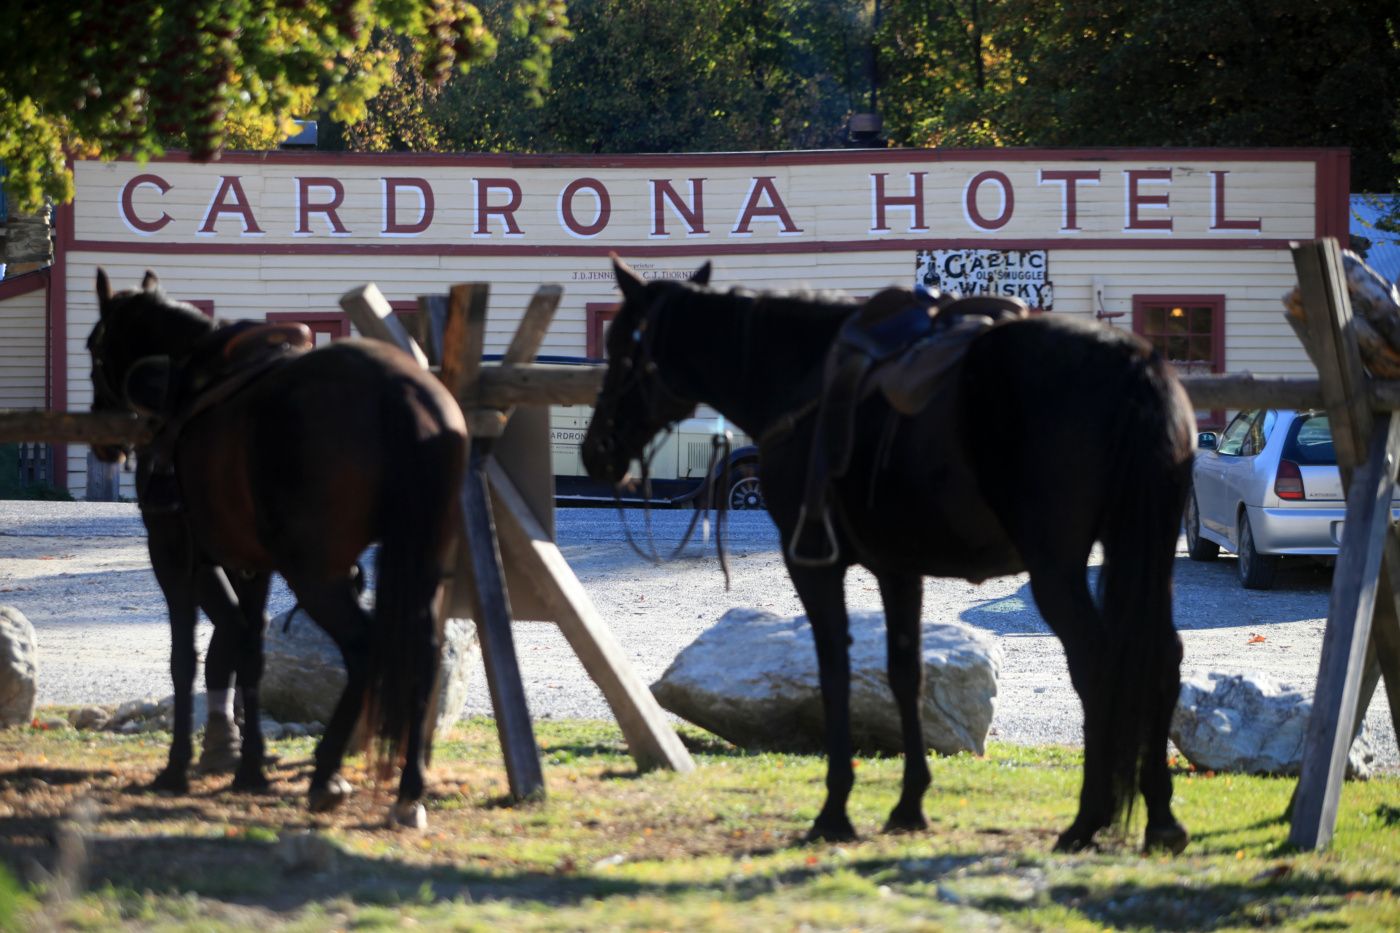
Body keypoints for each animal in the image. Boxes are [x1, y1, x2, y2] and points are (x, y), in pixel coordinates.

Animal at [88, 270, 466, 828]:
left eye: (94, 345)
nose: (104, 440)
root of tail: (399, 390)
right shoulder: (253, 566)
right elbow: (250, 653)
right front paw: (250, 768)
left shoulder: (173, 555)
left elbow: (184, 659)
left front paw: (176, 769)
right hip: (418, 565)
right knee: (423, 650)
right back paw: (408, 789)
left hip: (316, 574)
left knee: (364, 647)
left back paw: (328, 773)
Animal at [581, 258, 1196, 853]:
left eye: (622, 348)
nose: (596, 452)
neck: (800, 379)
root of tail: (1134, 363)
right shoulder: (899, 568)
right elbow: (905, 674)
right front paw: (909, 804)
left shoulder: (813, 562)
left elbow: (835, 671)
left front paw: (835, 811)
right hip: (1146, 550)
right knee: (1161, 657)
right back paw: (1162, 819)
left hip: (1057, 568)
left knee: (1099, 664)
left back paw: (1088, 820)